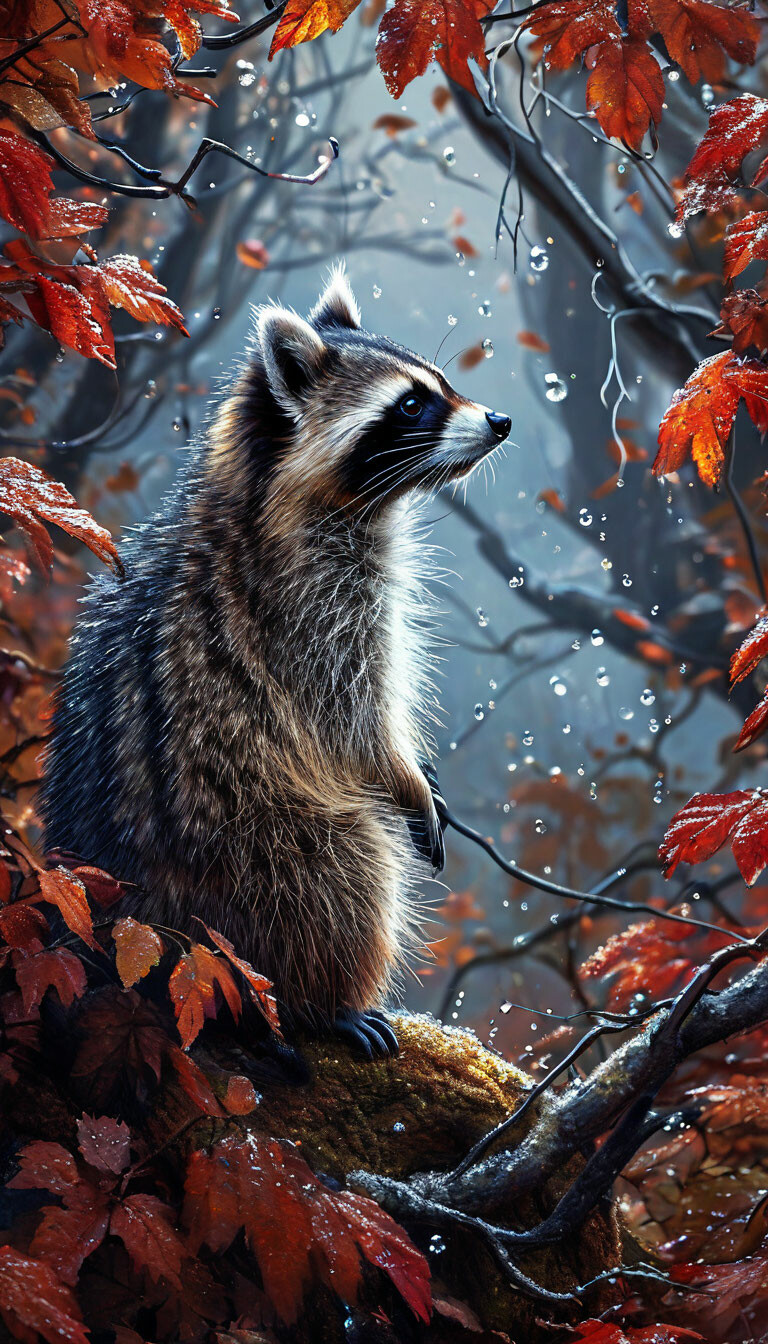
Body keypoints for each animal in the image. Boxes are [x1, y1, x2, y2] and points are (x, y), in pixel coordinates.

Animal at [41, 267, 510, 1057]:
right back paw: (319, 1001)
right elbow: (351, 719)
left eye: (442, 381)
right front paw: (405, 773)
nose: (500, 421)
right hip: (250, 850)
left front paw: (422, 771)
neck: (274, 488)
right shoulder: (305, 609)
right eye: (412, 403)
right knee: (347, 873)